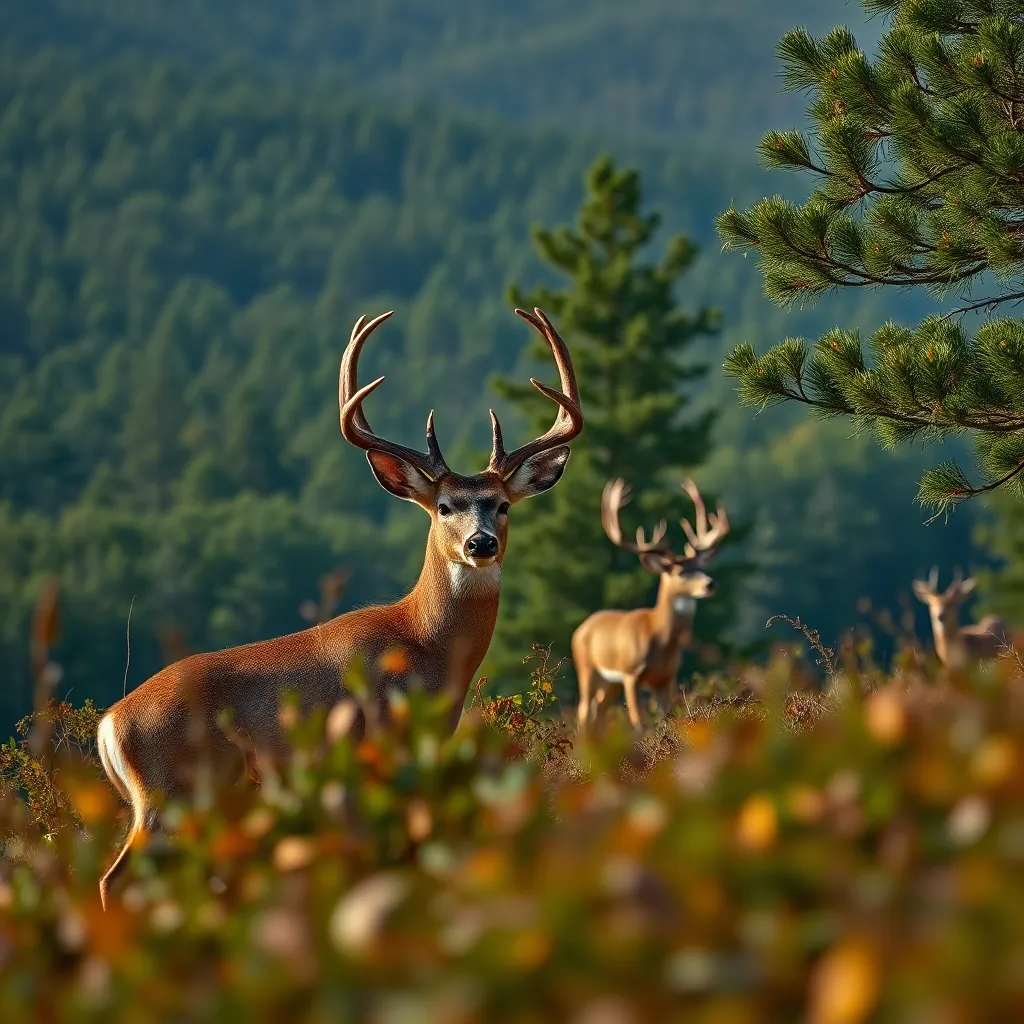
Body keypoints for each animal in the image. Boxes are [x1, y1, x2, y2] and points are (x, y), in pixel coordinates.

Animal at [95, 306, 583, 909]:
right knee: (116, 878)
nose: (481, 543)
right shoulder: (370, 749)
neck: (425, 648)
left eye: (503, 505)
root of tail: (110, 724)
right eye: (445, 506)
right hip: (172, 790)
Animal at [572, 477, 730, 734]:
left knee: (600, 709)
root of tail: (581, 627)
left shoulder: (666, 679)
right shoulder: (631, 673)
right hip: (586, 667)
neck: (660, 640)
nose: (710, 583)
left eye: (700, 567)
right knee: (584, 710)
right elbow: (639, 722)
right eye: (679, 572)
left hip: (610, 682)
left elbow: (669, 718)